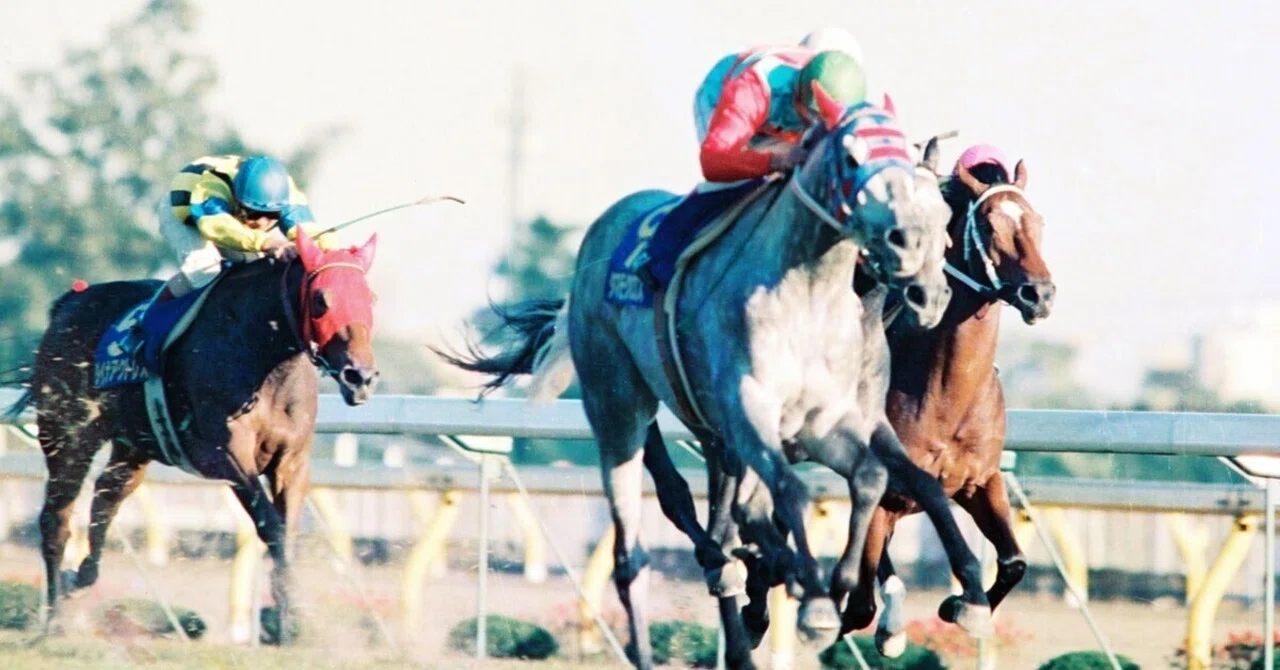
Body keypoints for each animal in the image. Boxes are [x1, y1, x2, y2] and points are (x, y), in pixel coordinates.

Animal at [4, 227, 380, 643]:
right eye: (320, 299)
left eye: (370, 298)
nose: (360, 377)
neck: (263, 355)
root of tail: (69, 302)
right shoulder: (226, 456)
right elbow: (272, 528)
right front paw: (288, 624)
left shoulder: (292, 463)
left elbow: (287, 533)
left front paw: (288, 623)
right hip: (68, 435)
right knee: (56, 519)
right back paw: (53, 620)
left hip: (134, 444)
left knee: (106, 496)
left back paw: (80, 578)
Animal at [440, 101, 991, 669]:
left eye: (944, 221)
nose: (929, 295)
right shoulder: (753, 417)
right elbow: (783, 499)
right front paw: (814, 596)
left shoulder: (843, 424)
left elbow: (893, 480)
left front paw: (946, 591)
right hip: (622, 405)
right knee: (659, 523)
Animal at [841, 157, 1056, 656]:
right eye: (990, 225)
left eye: (1037, 222)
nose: (1039, 294)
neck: (945, 399)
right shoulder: (888, 484)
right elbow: (862, 601)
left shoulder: (981, 481)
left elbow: (1014, 561)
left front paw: (963, 607)